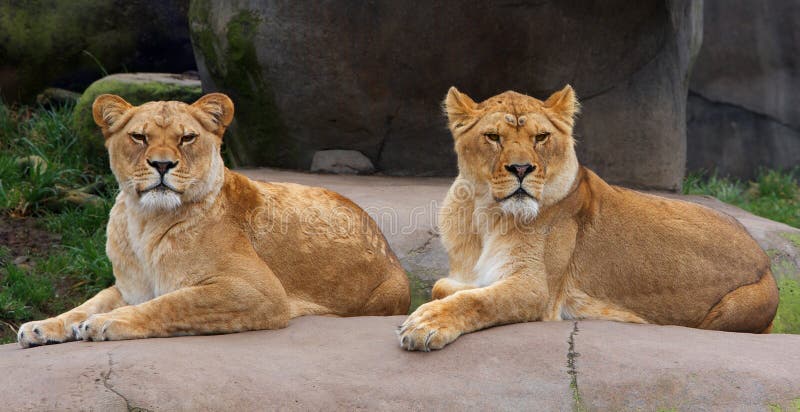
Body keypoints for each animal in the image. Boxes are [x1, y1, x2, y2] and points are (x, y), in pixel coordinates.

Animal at [17, 93, 409, 348]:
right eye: (139, 137)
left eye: (187, 138)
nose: (162, 164)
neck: (144, 221)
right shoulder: (129, 288)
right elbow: (87, 303)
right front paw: (41, 326)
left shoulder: (259, 291)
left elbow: (172, 302)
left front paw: (107, 322)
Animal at [398, 86, 779, 351]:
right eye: (493, 137)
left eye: (540, 137)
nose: (521, 168)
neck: (483, 215)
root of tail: (764, 258)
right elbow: (445, 285)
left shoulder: (536, 288)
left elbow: (476, 299)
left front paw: (426, 323)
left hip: (735, 308)